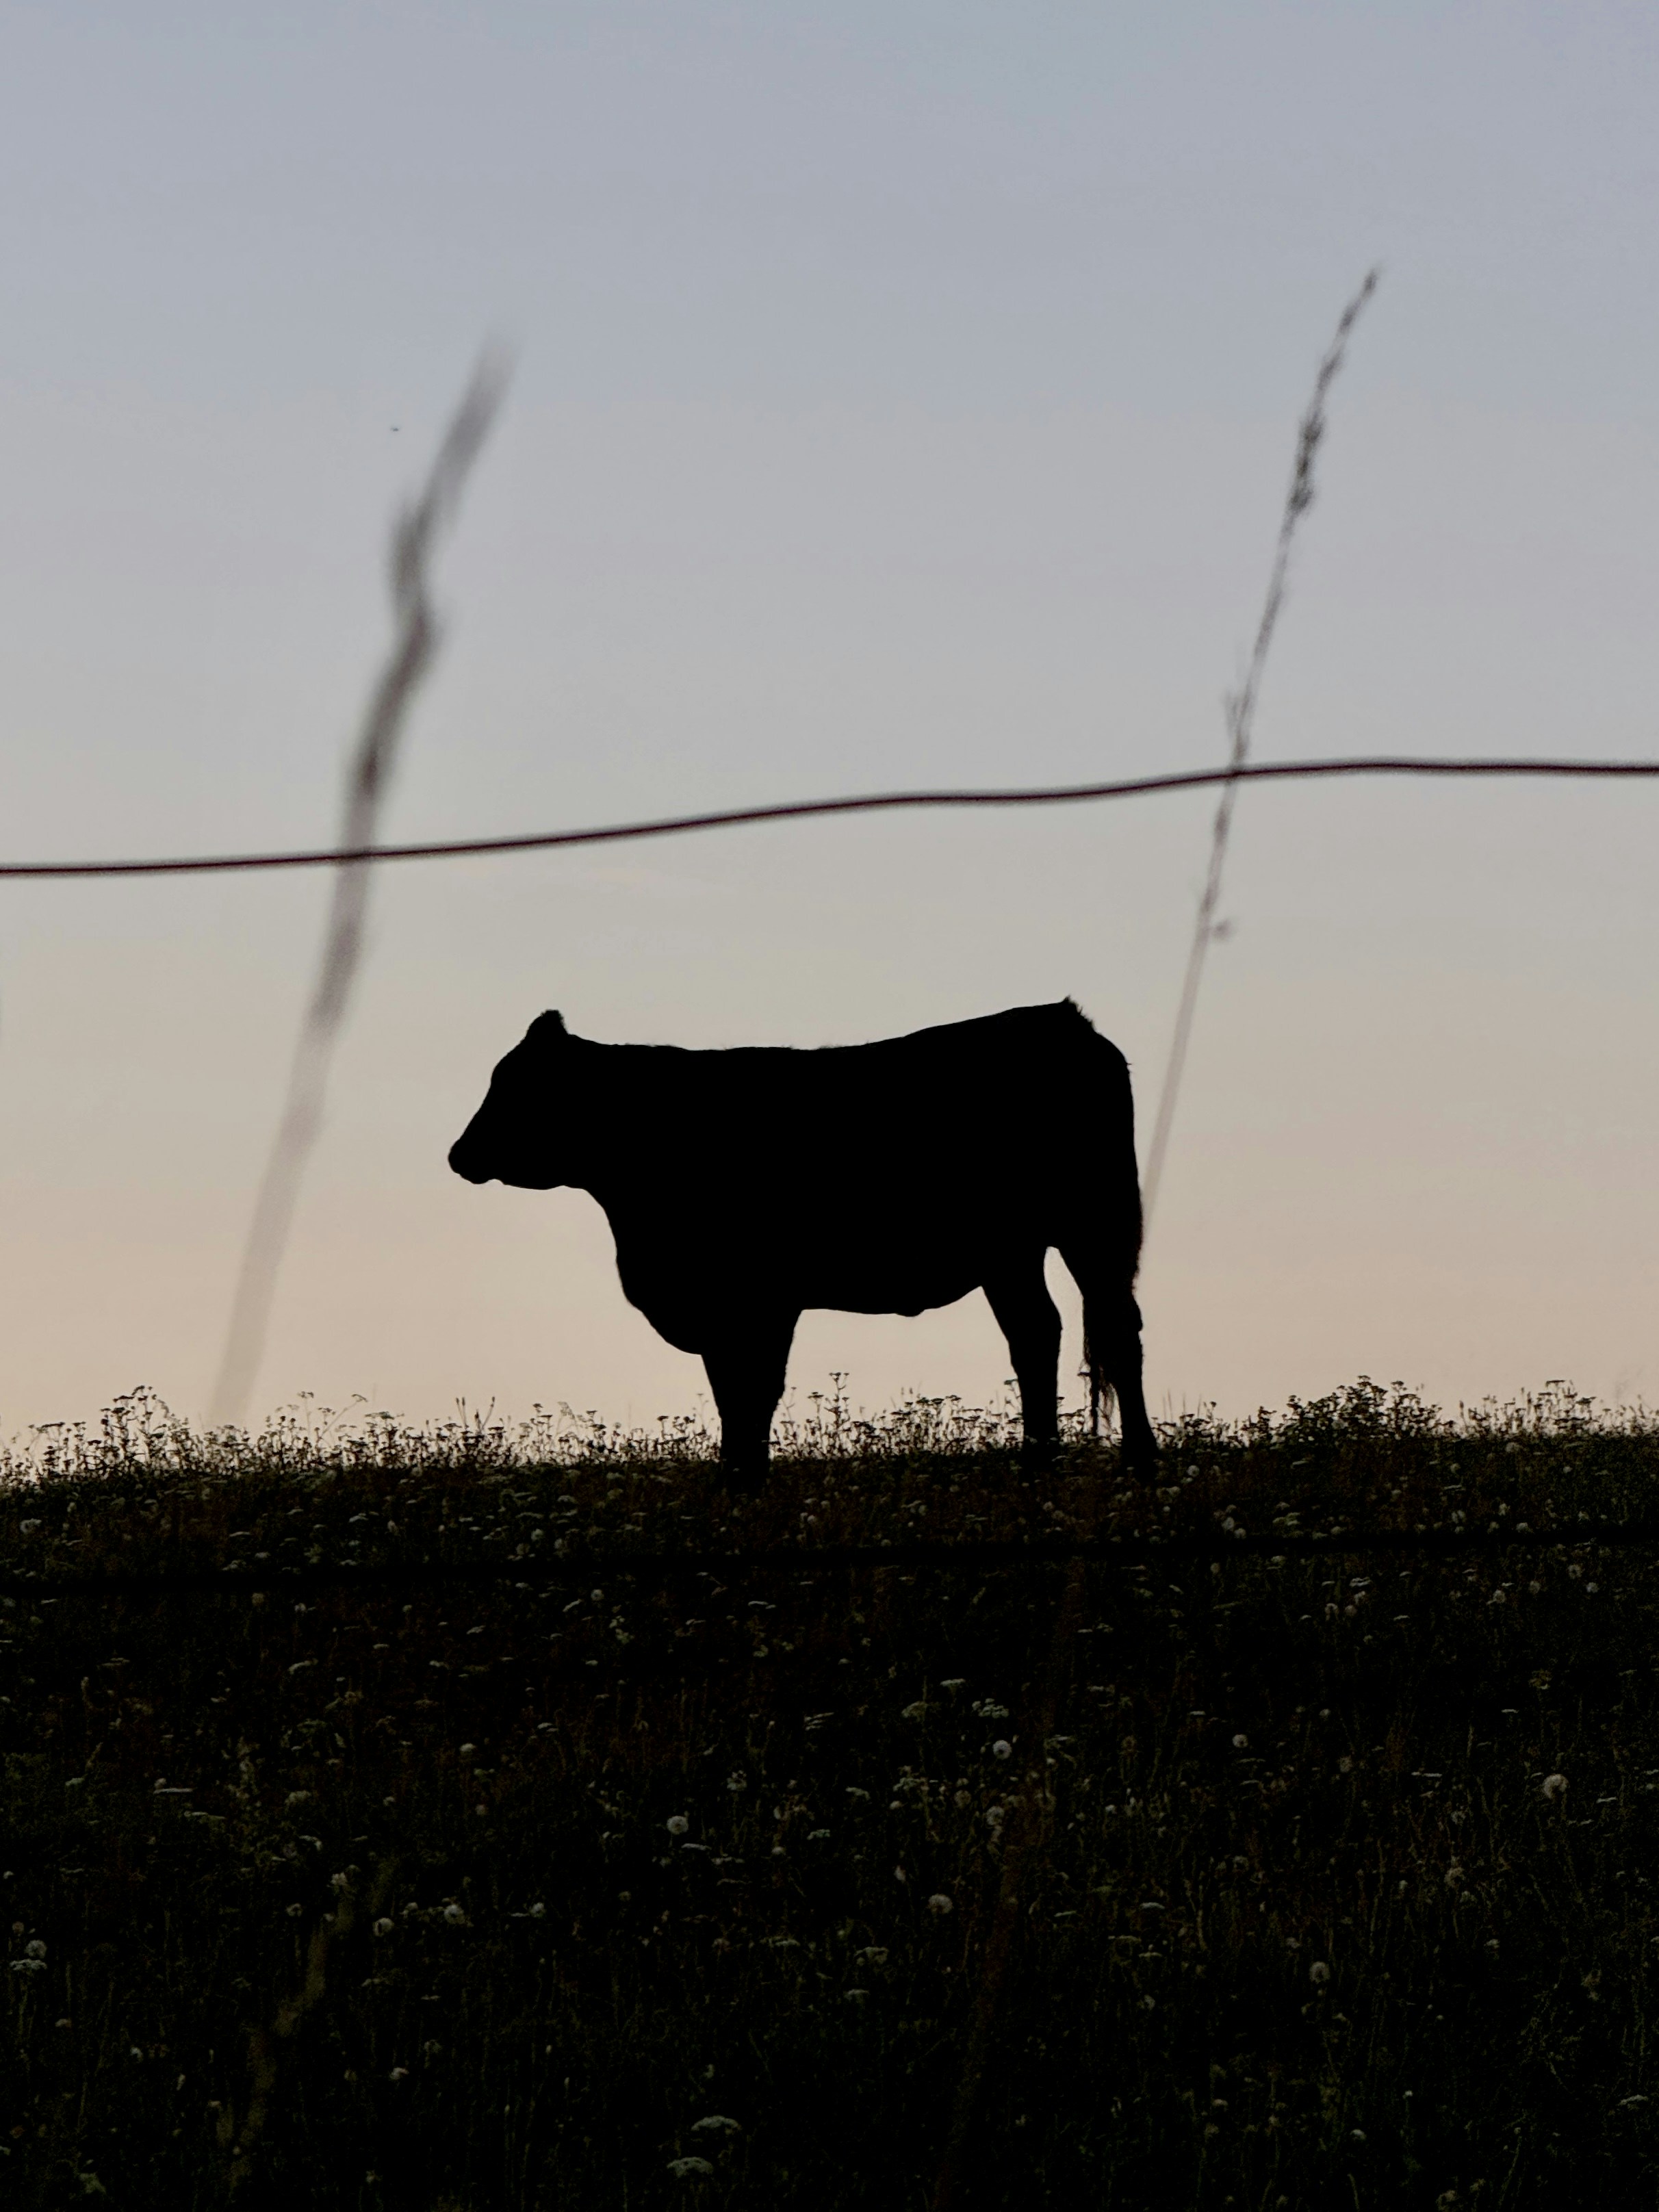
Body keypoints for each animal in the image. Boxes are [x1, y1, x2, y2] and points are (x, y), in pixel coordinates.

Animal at [448, 999, 1157, 1483]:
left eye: (516, 1087)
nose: (459, 1154)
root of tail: (1064, 1021)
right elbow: (732, 1392)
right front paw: (738, 1477)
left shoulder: (761, 1299)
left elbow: (753, 1389)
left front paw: (746, 1481)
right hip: (1011, 1251)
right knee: (1037, 1333)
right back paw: (1039, 1464)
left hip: (1095, 1223)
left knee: (1116, 1330)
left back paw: (1139, 1460)